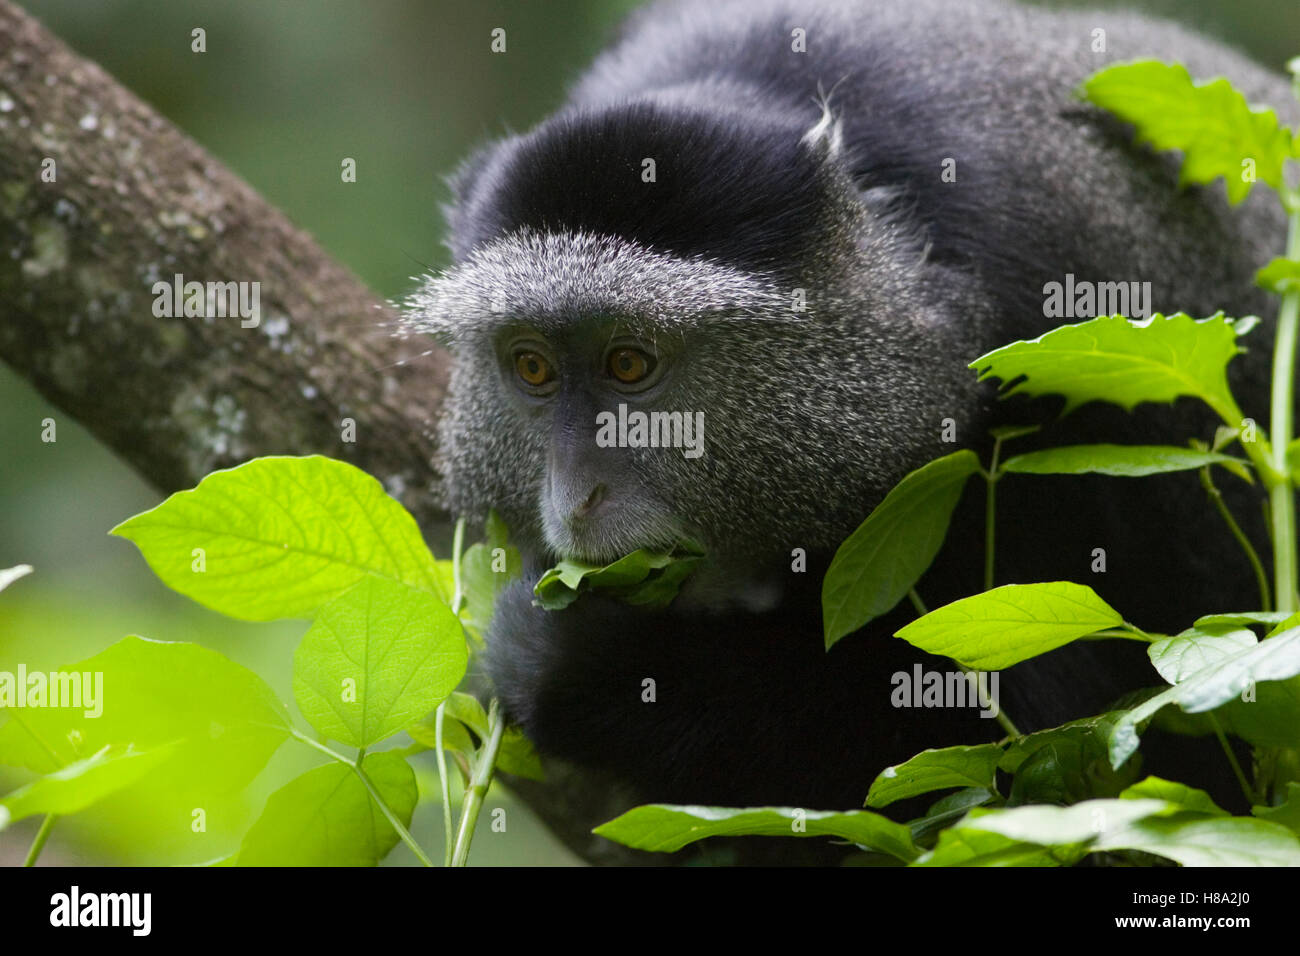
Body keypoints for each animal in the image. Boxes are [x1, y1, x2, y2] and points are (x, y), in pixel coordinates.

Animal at [406, 0, 1297, 863]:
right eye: (531, 367)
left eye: (630, 364)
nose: (579, 496)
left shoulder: (1059, 312)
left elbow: (1036, 717)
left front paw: (574, 665)